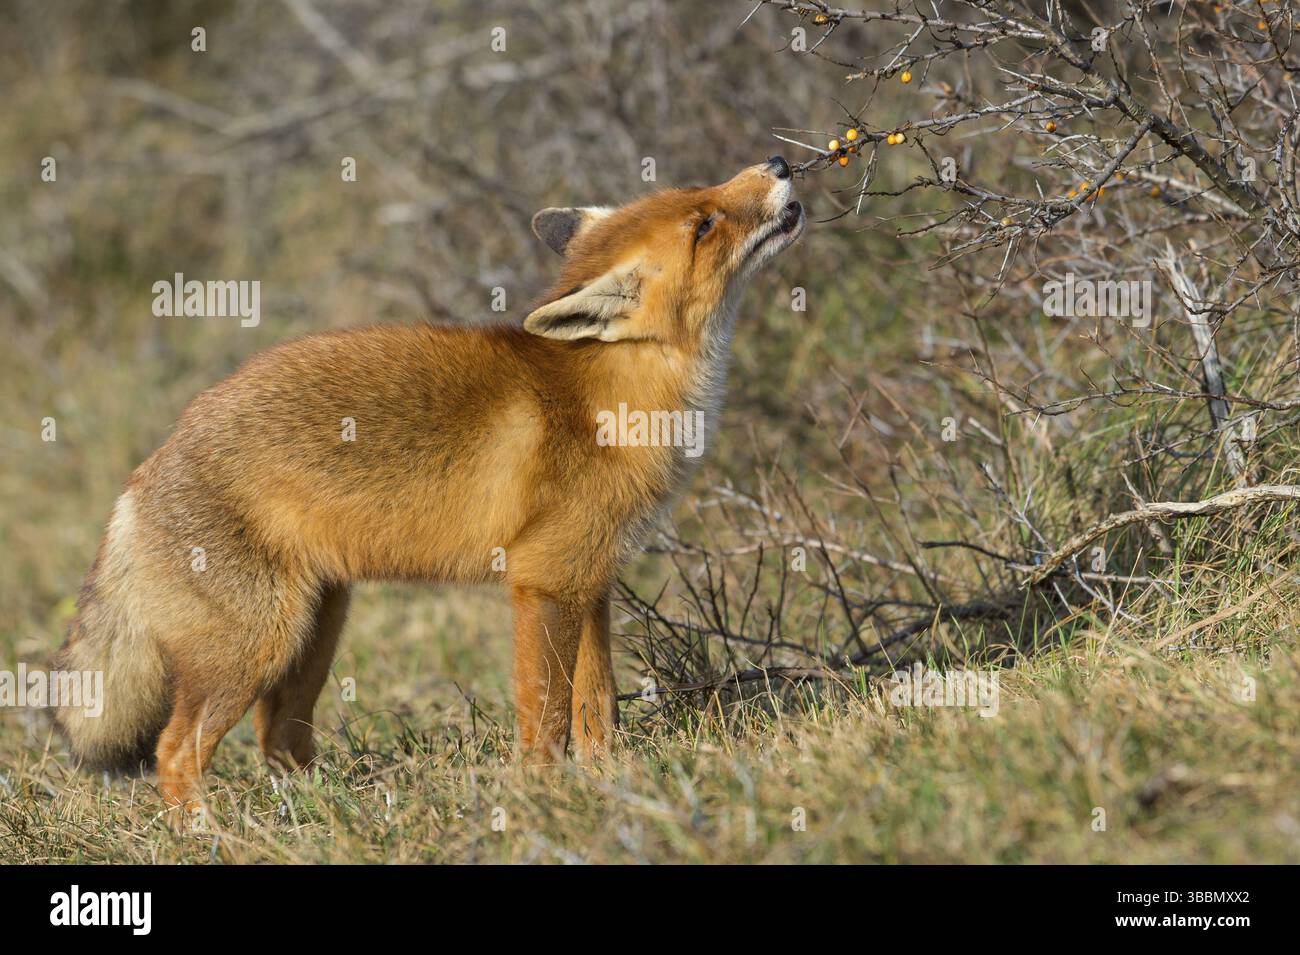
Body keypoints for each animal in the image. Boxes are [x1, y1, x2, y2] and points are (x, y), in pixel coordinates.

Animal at [53, 157, 806, 808]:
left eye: (698, 190)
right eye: (704, 223)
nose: (777, 163)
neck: (617, 402)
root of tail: (149, 466)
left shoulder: (588, 581)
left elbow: (597, 710)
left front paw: (611, 783)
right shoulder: (543, 581)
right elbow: (547, 717)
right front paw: (545, 797)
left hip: (313, 633)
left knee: (278, 739)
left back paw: (323, 814)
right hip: (256, 644)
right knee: (175, 751)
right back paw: (213, 832)